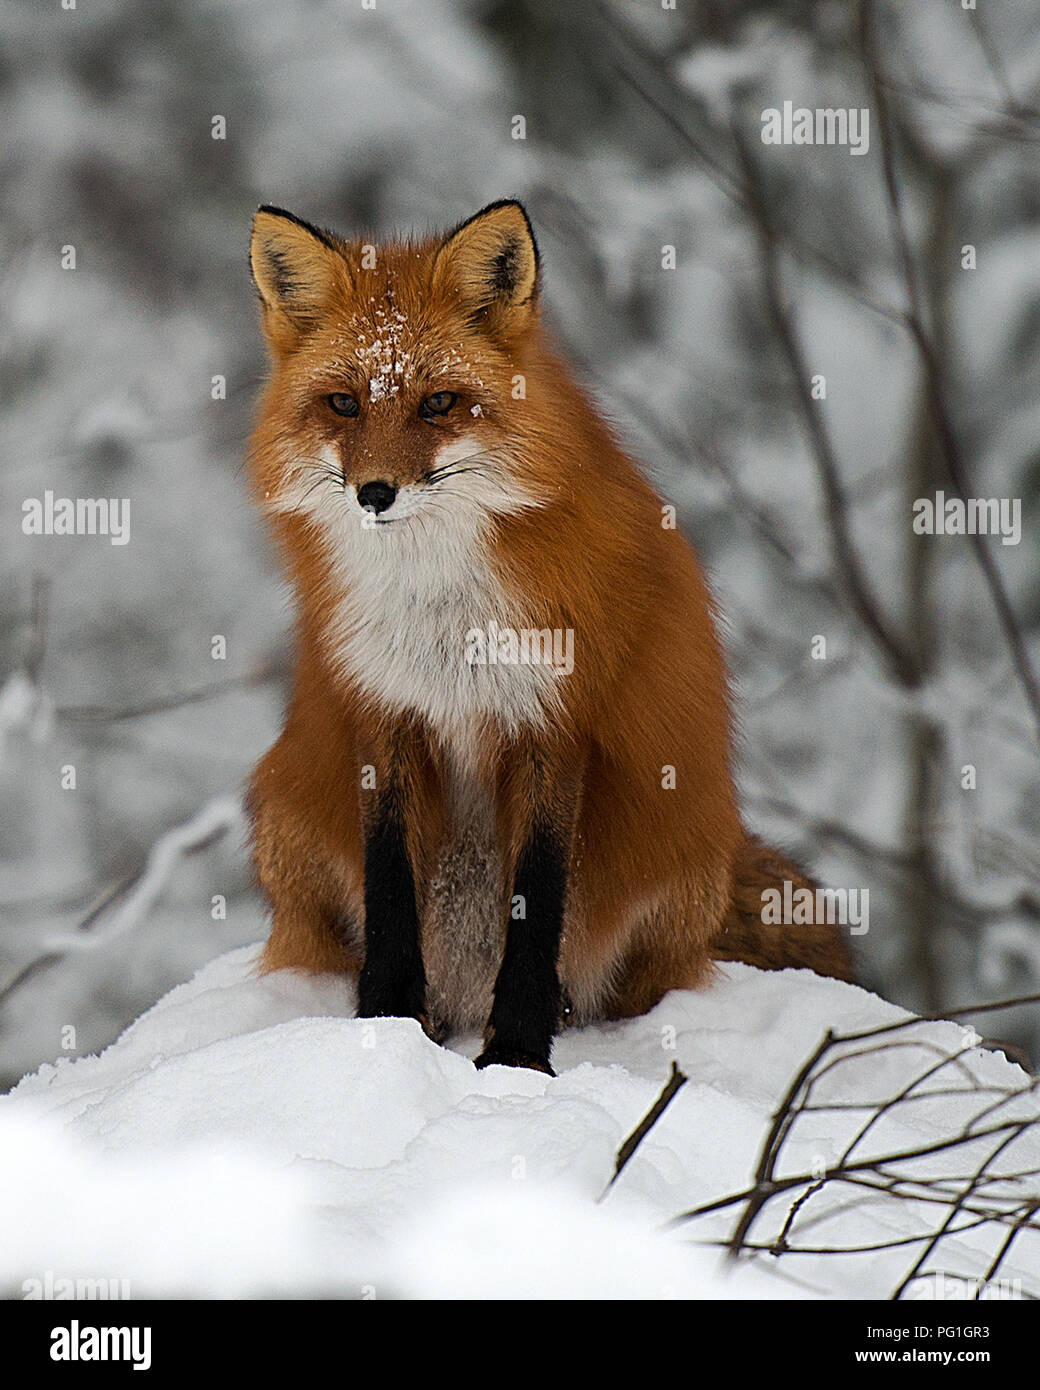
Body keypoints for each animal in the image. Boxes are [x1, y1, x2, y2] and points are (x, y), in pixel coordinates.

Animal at [245, 199, 854, 1075]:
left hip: (679, 852)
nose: (374, 493)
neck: (442, 612)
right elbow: (391, 896)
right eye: (344, 404)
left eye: (438, 404)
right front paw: (385, 1027)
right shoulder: (385, 716)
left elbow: (537, 910)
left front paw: (517, 1058)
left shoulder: (554, 724)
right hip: (283, 809)